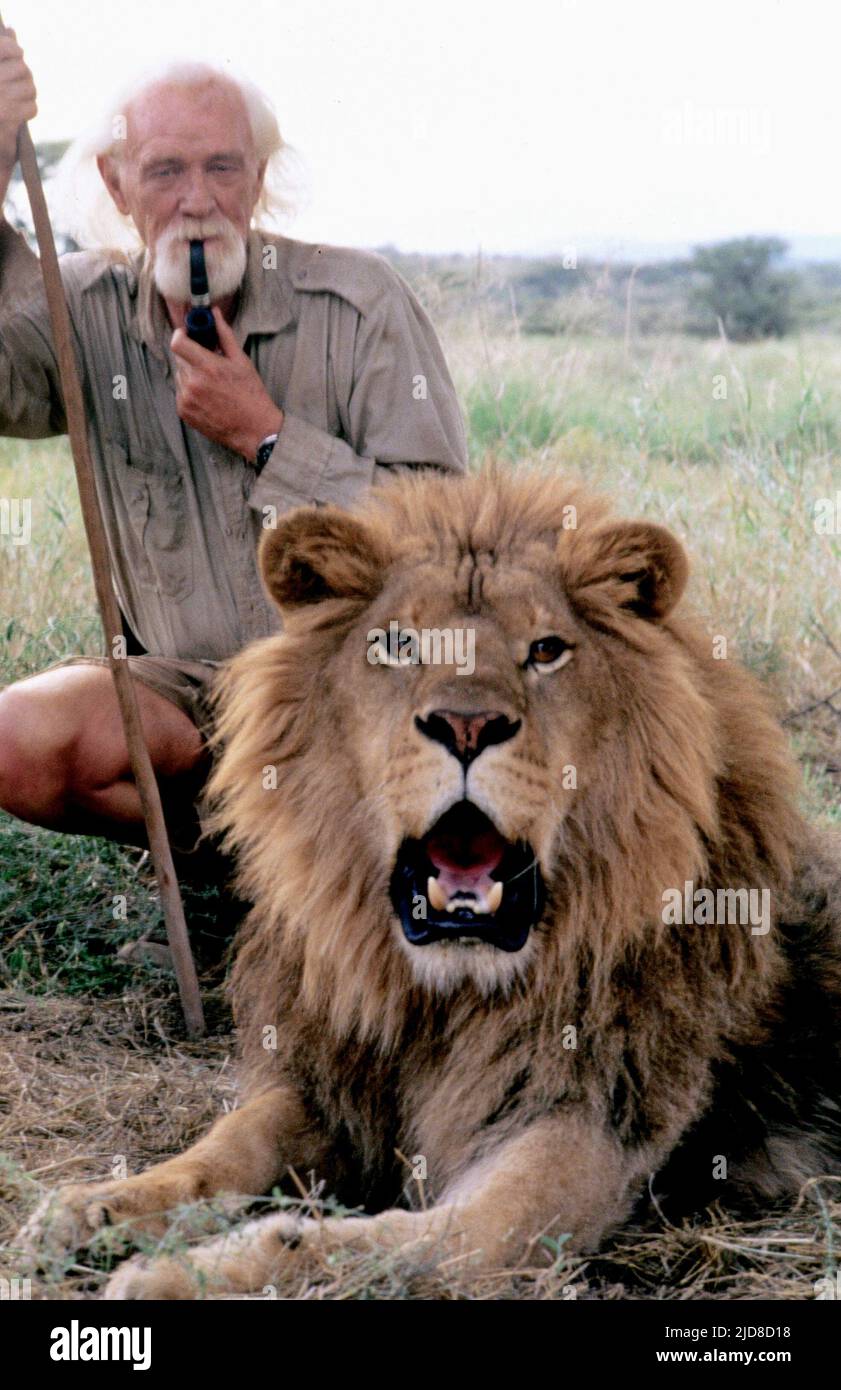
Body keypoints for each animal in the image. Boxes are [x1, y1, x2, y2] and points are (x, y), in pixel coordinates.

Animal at [18, 465, 841, 1299]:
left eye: (546, 650)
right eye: (397, 643)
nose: (466, 725)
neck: (443, 996)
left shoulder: (576, 1144)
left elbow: (393, 1245)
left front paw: (190, 1272)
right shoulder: (326, 1086)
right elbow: (222, 1150)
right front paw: (95, 1208)